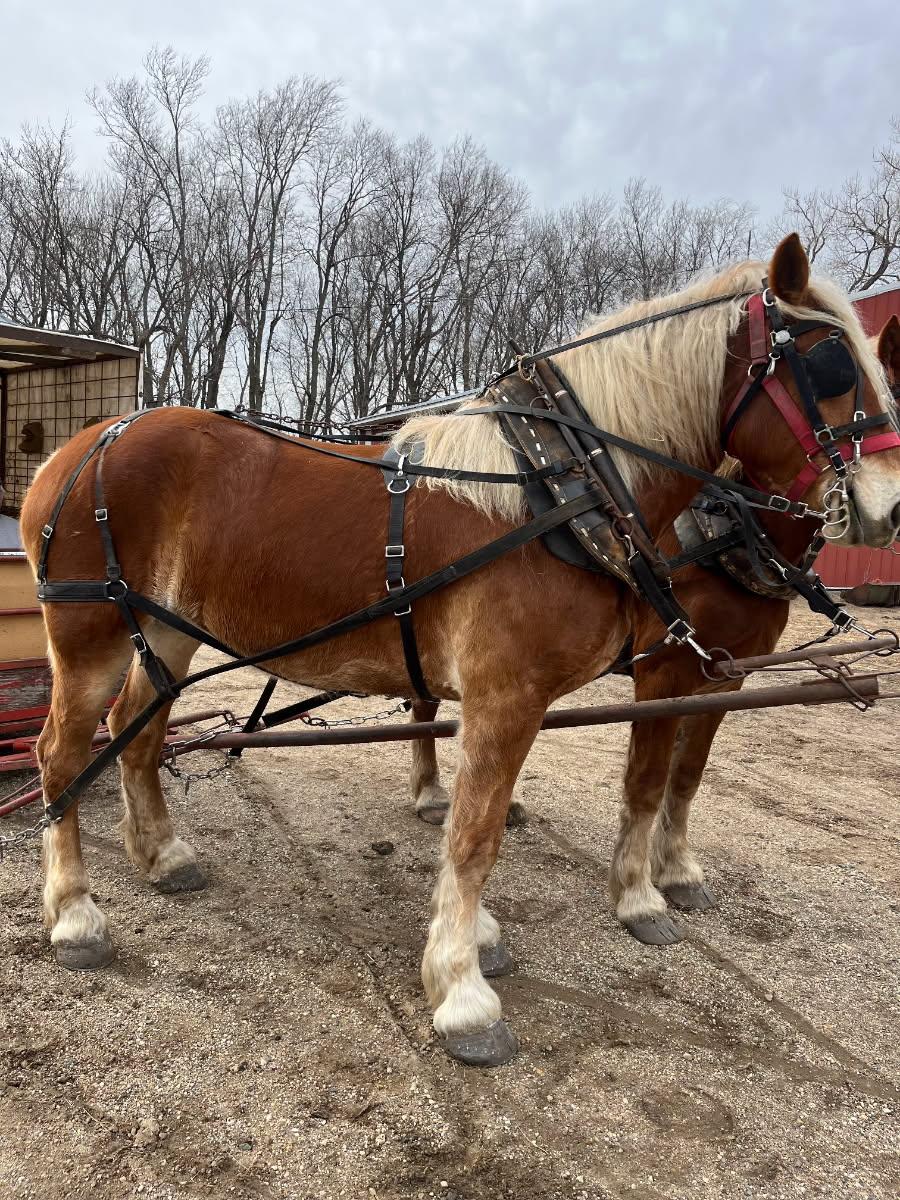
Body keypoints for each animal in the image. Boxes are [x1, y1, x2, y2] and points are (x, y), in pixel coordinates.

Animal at [20, 234, 900, 1067]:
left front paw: (483, 936)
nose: (888, 508)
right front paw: (464, 992)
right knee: (61, 754)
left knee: (138, 734)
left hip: (166, 632)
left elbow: (558, 809)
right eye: (828, 362)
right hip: (90, 634)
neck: (558, 492)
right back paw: (75, 916)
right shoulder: (520, 691)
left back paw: (162, 856)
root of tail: (79, 448)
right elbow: (481, 835)